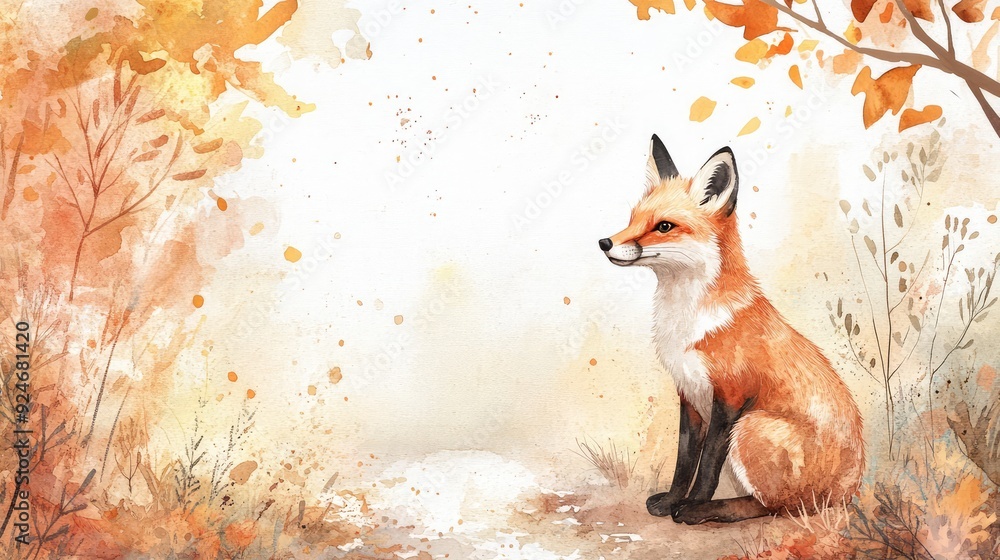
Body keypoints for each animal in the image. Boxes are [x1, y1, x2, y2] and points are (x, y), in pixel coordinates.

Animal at [599, 135, 865, 524]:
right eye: (632, 219)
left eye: (663, 226)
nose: (605, 243)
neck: (686, 327)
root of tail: (849, 491)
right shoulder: (689, 395)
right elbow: (684, 463)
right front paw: (670, 502)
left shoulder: (730, 396)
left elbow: (708, 465)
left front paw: (689, 506)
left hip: (751, 427)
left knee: (774, 507)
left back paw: (708, 511)